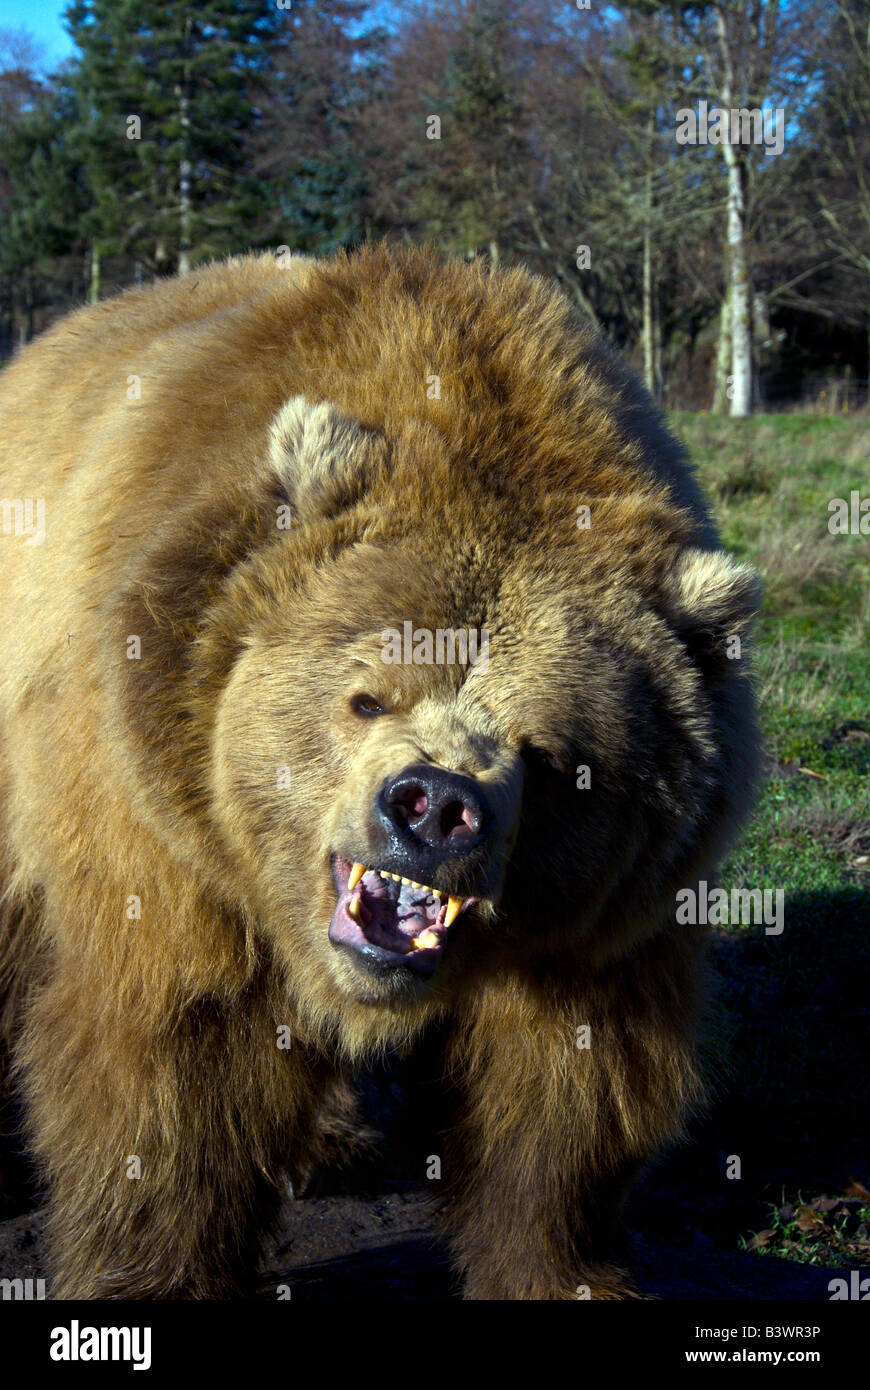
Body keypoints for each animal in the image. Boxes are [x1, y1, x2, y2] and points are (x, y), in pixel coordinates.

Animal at [0, 245, 760, 1300]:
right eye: (367, 696)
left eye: (553, 754)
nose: (434, 806)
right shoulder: (165, 831)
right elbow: (178, 1063)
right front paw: (147, 1271)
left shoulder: (608, 924)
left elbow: (566, 1094)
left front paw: (561, 1267)